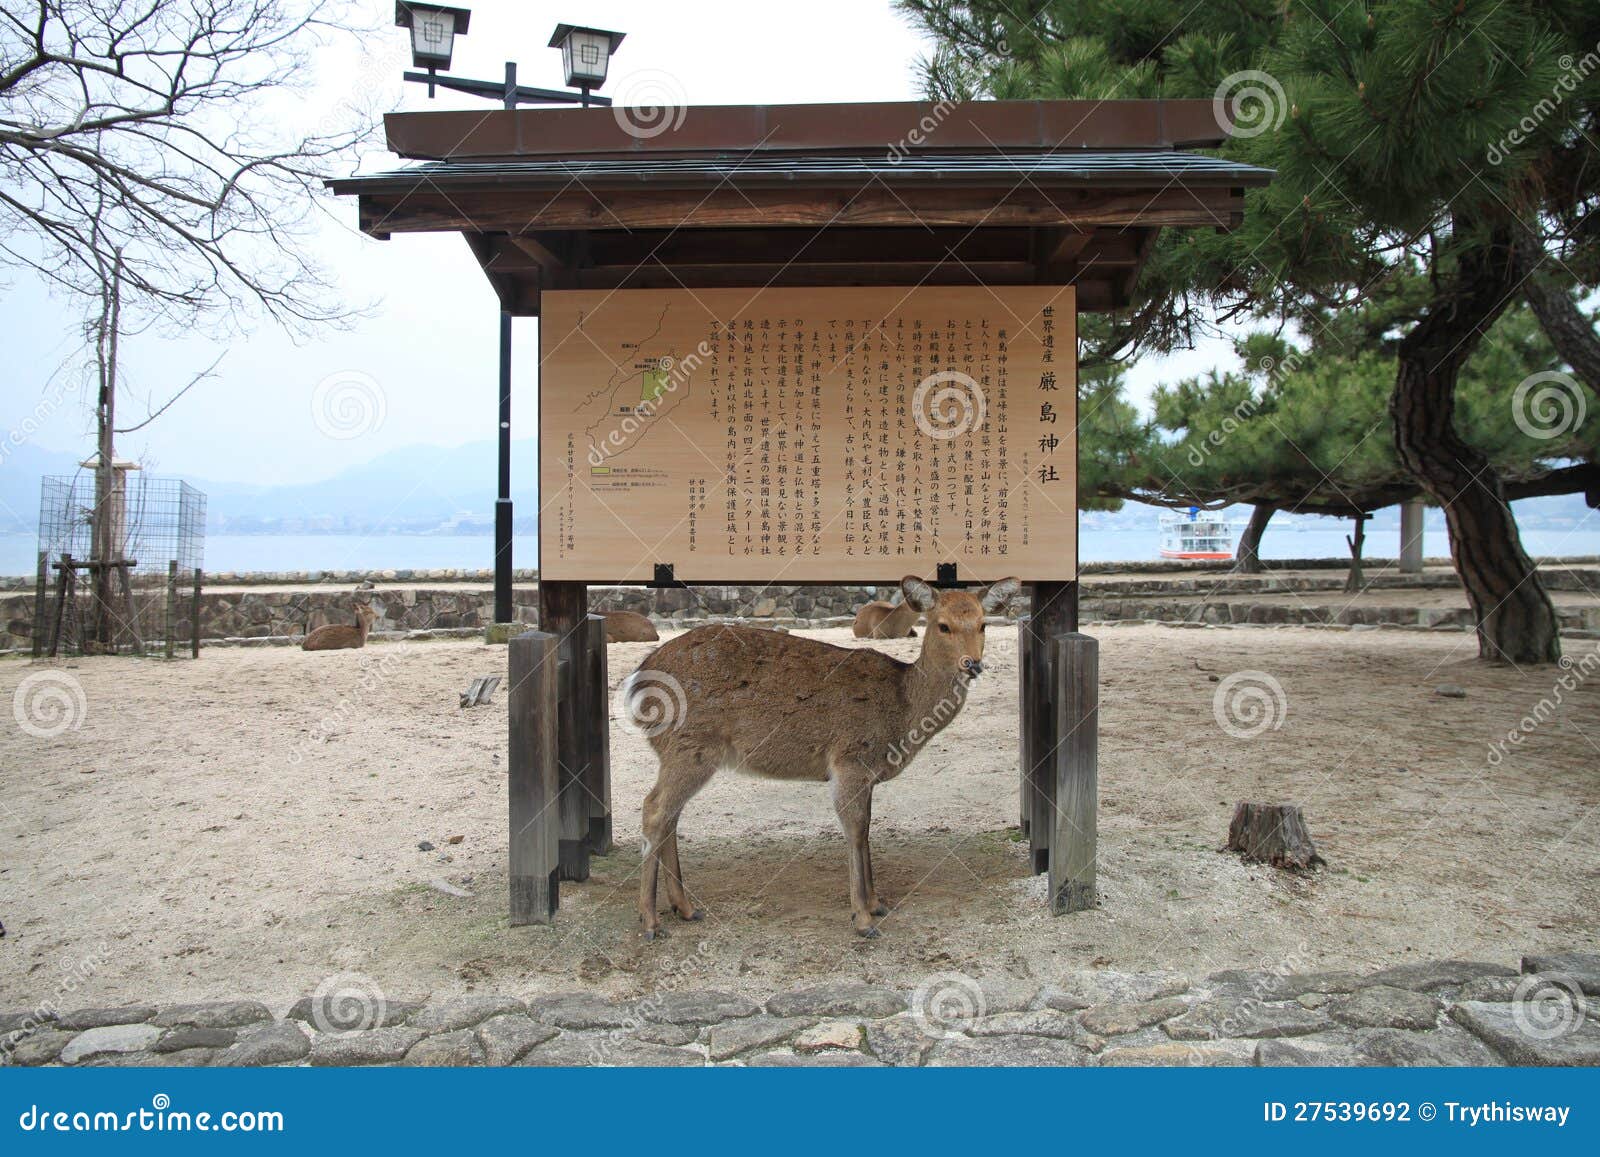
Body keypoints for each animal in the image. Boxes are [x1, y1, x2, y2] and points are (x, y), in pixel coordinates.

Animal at [625, 574, 1019, 940]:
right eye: (943, 625)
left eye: (983, 623)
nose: (973, 664)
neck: (903, 711)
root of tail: (636, 685)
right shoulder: (849, 760)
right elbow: (855, 830)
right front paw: (862, 919)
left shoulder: (867, 774)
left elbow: (868, 828)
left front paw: (876, 903)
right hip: (691, 746)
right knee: (654, 809)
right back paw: (650, 920)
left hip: (682, 753)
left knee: (671, 815)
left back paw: (685, 907)